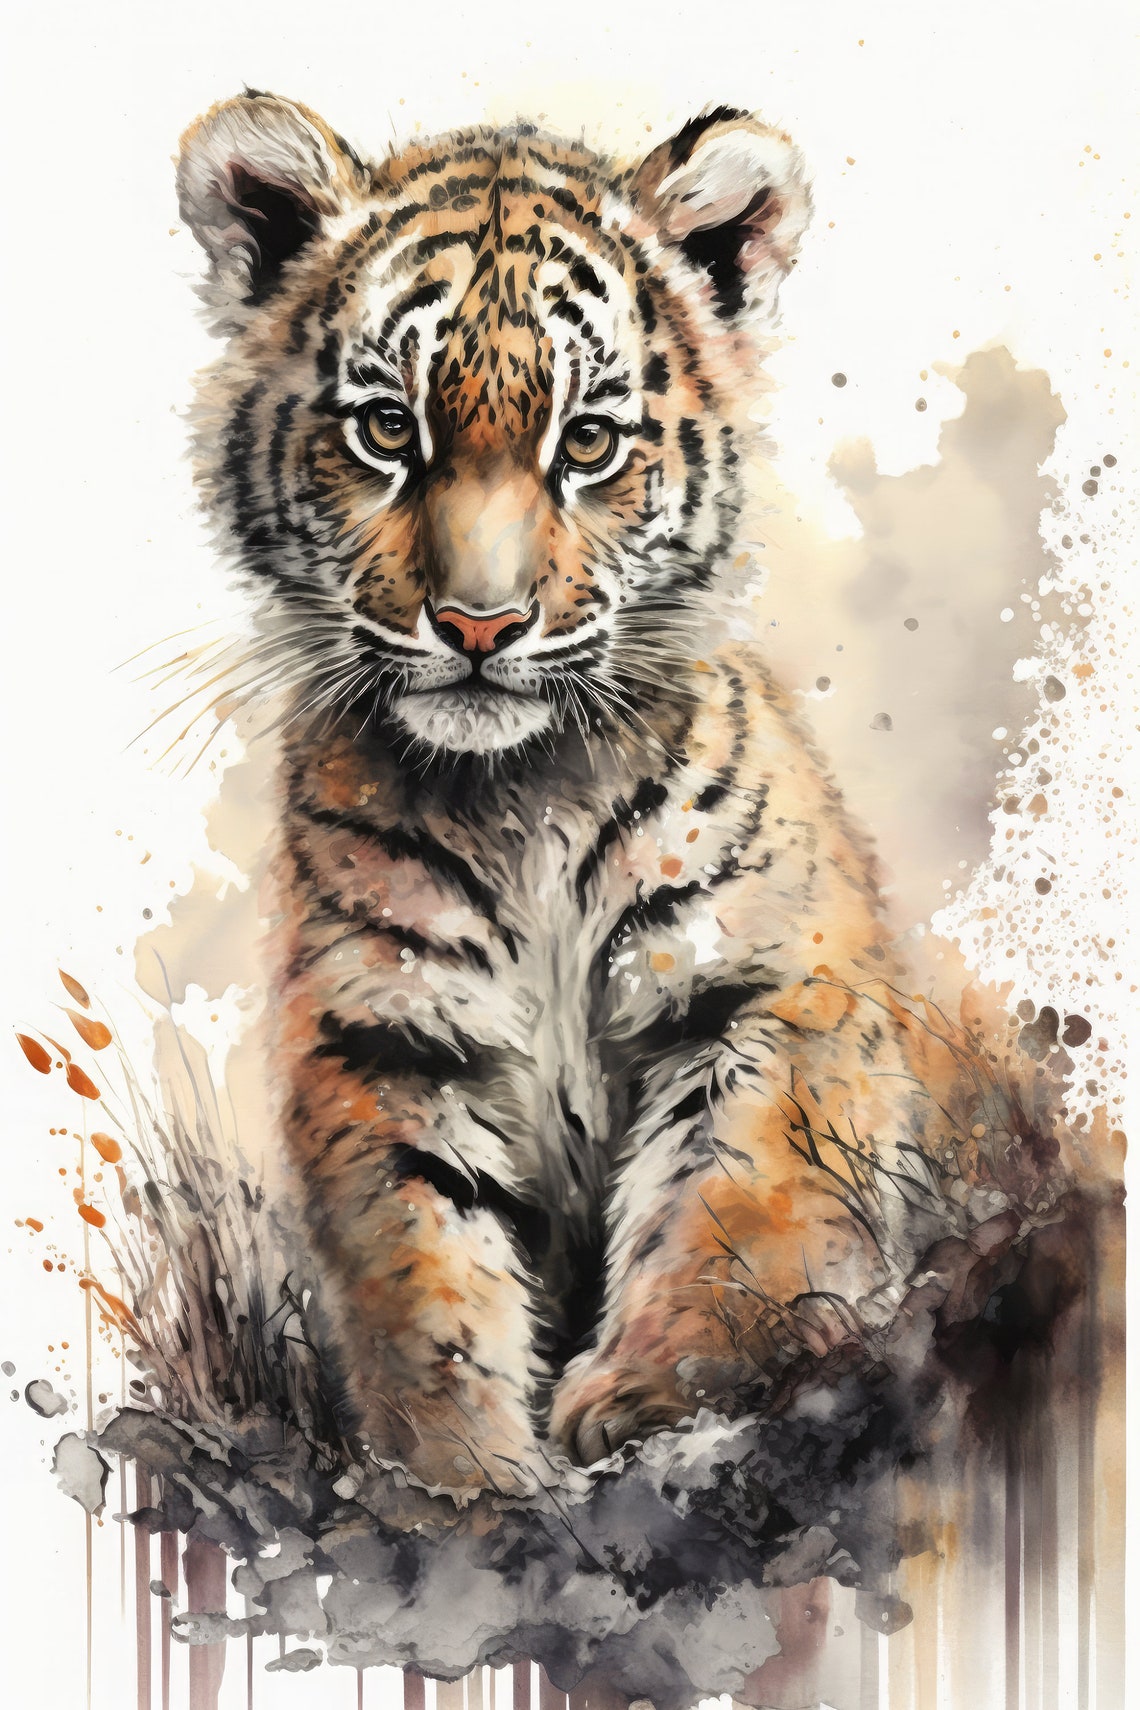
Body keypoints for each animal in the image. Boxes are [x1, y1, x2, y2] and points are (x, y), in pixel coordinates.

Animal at [176, 92, 1058, 1501]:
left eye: (585, 442)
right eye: (387, 430)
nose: (479, 626)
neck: (520, 796)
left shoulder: (768, 993)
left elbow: (735, 1196)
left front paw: (652, 1390)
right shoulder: (385, 1039)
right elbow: (422, 1274)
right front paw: (464, 1473)